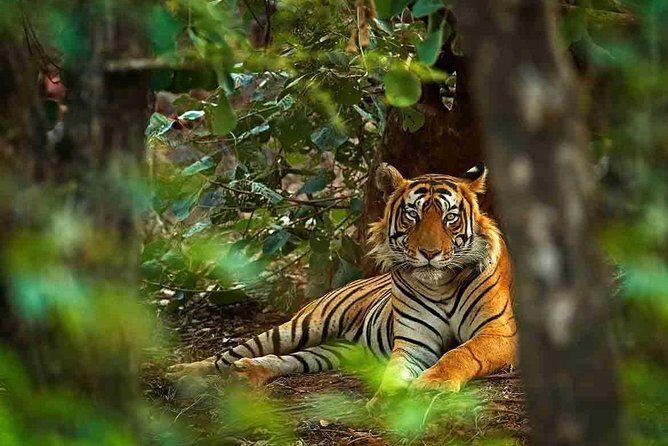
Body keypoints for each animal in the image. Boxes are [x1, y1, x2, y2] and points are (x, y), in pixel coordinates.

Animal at [167, 163, 517, 399]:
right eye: (412, 215)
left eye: (450, 218)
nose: (429, 253)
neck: (440, 283)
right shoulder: (414, 343)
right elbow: (396, 371)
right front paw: (386, 399)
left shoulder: (499, 333)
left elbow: (460, 352)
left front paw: (433, 384)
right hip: (301, 326)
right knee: (229, 354)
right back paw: (181, 372)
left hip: (335, 351)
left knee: (288, 360)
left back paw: (248, 372)